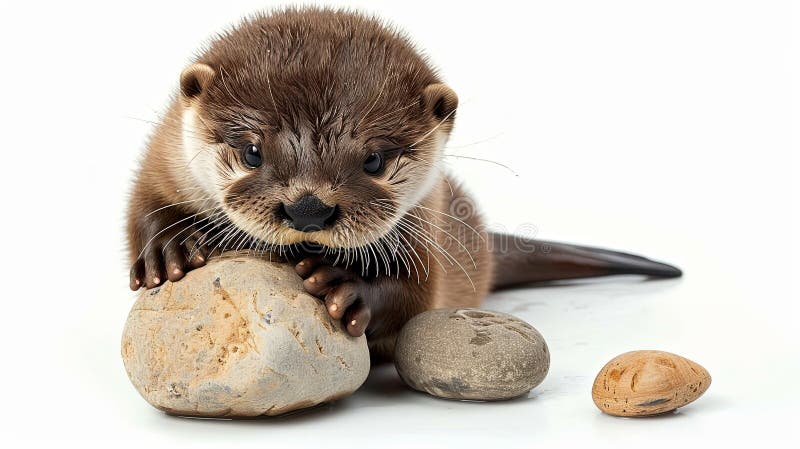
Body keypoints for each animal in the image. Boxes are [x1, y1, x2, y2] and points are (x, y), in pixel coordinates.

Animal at [127, 8, 680, 361]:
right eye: (252, 152)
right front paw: (171, 246)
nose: (308, 209)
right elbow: (144, 206)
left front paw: (347, 288)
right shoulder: (164, 156)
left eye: (373, 159)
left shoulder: (427, 221)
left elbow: (417, 294)